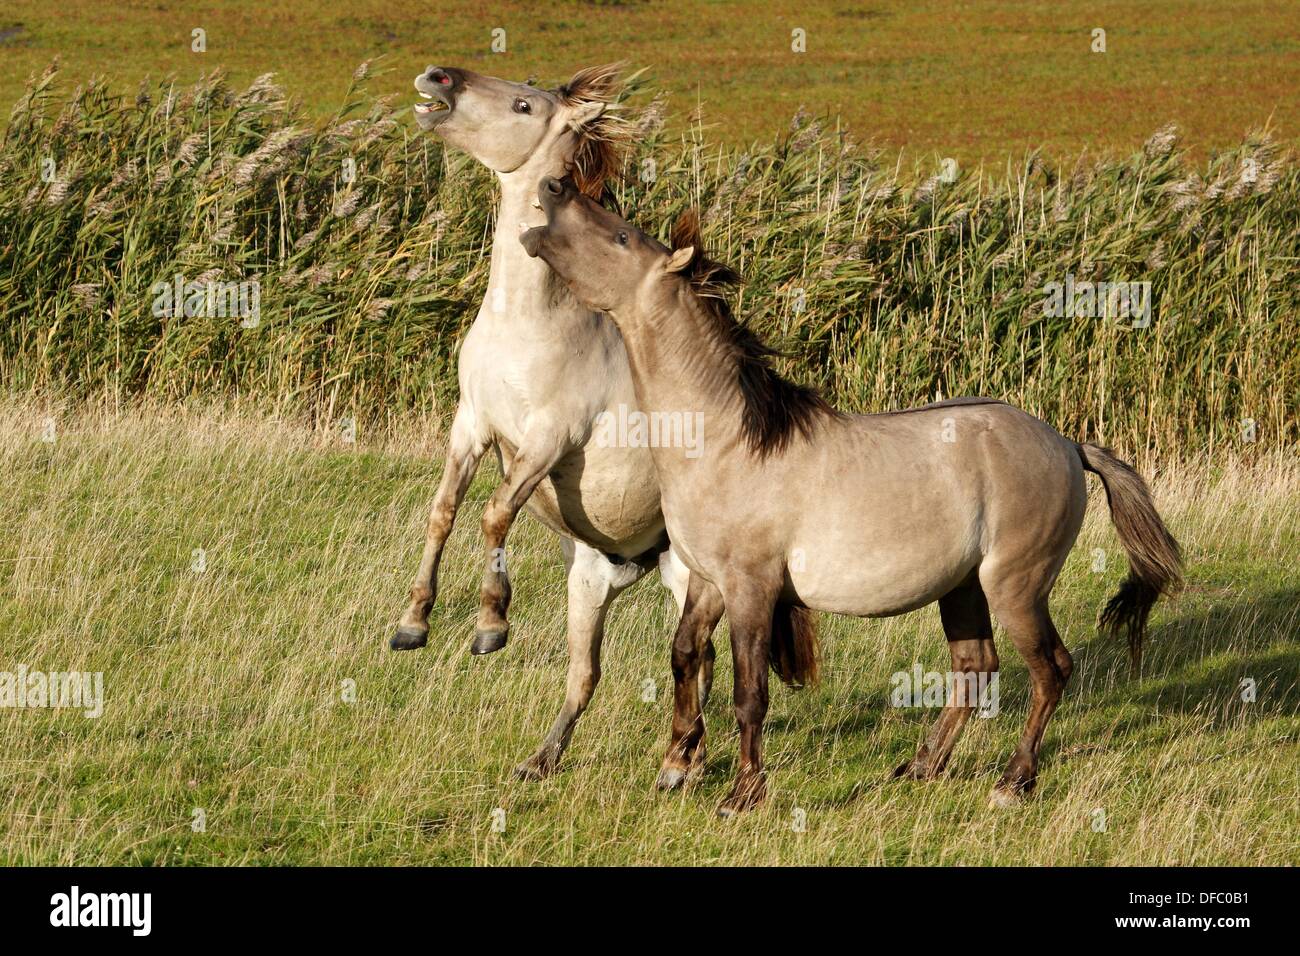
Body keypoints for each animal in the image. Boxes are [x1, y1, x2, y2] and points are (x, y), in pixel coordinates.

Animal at [521, 176, 1182, 815]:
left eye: (622, 237)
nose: (553, 189)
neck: (727, 440)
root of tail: (1068, 445)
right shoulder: (707, 579)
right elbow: (684, 656)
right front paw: (677, 767)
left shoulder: (751, 586)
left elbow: (748, 692)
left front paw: (742, 796)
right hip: (962, 587)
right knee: (974, 668)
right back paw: (920, 767)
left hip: (1016, 586)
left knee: (1050, 670)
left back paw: (1013, 782)